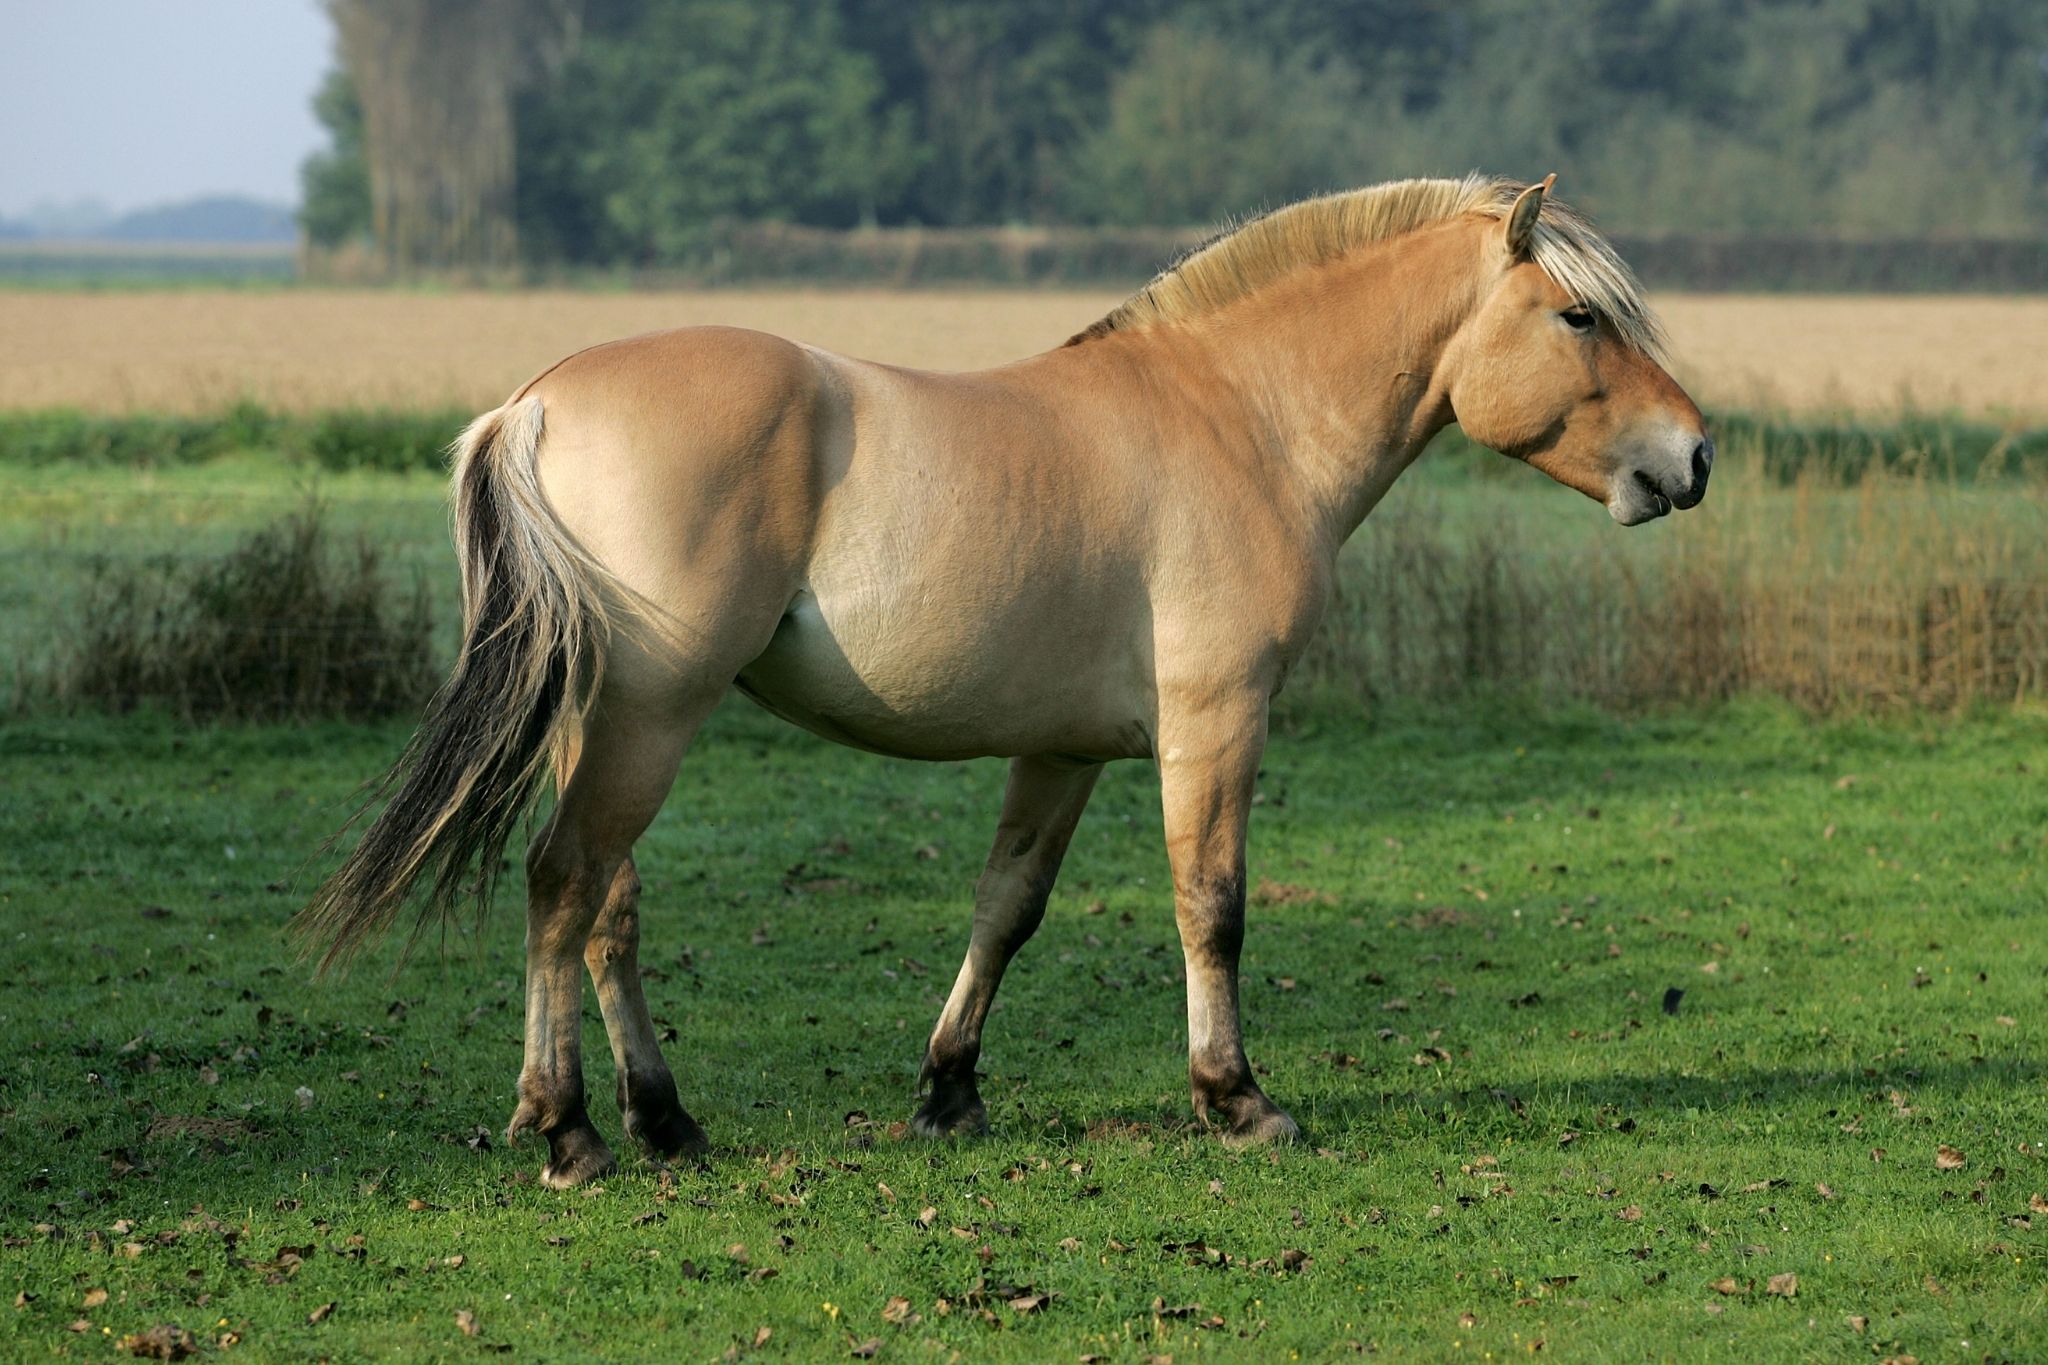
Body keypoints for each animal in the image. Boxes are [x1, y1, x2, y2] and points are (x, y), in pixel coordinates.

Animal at [299, 174, 1712, 1188]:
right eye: (1579, 315)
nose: (1693, 457)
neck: (1241, 418)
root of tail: (532, 404)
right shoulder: (1214, 725)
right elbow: (1212, 906)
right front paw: (1235, 1100)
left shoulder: (1064, 751)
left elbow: (1006, 910)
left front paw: (949, 1091)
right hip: (648, 716)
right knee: (561, 886)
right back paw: (569, 1131)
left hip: (606, 723)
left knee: (607, 911)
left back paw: (666, 1122)